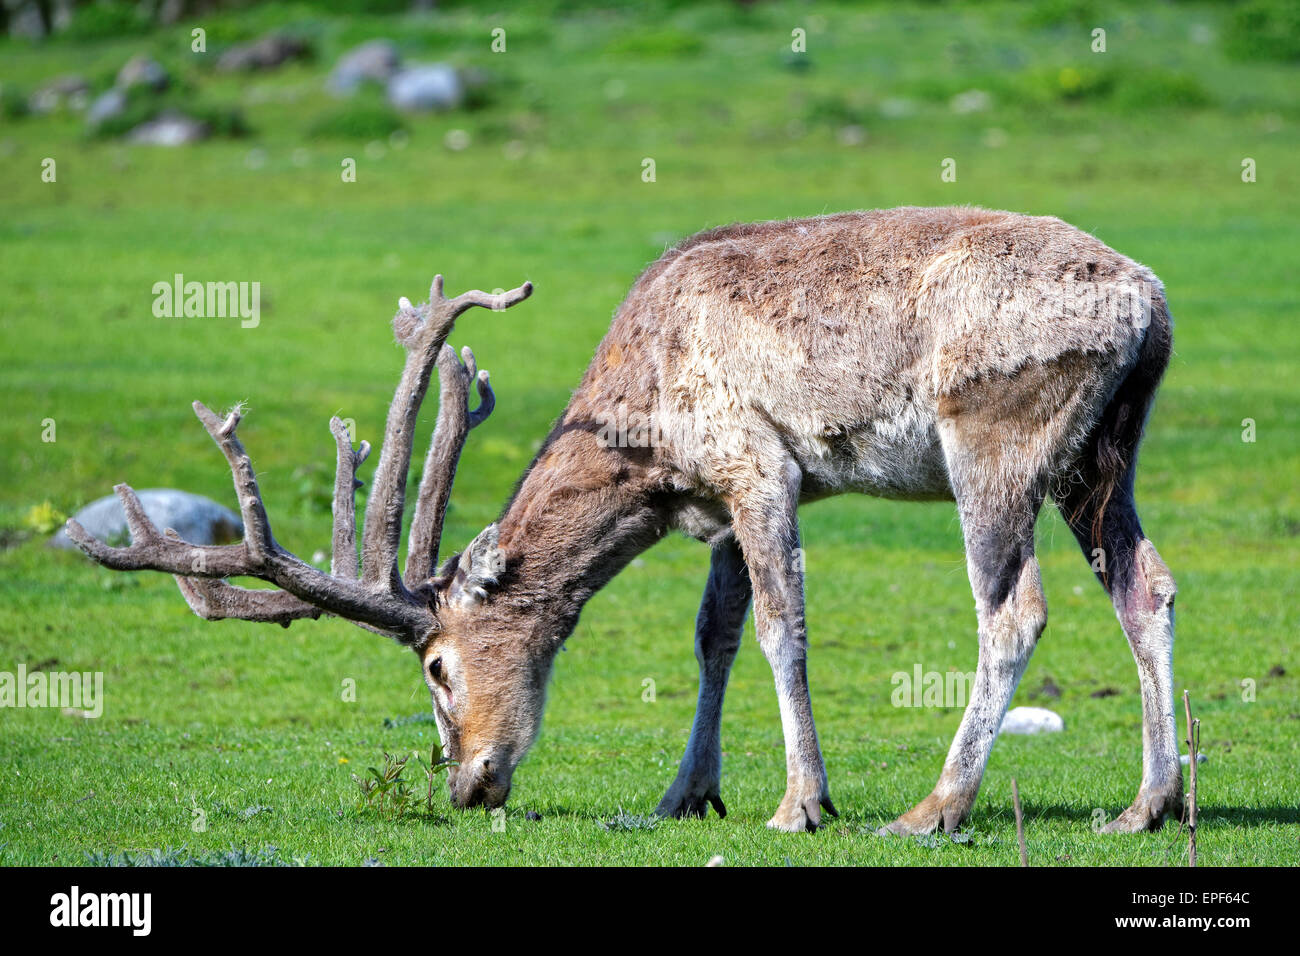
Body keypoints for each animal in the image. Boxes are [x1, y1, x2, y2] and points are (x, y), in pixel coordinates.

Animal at [68, 205, 1182, 835]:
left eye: (436, 666)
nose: (467, 783)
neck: (648, 445)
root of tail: (1154, 304)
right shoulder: (723, 501)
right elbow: (713, 632)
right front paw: (684, 793)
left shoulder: (756, 460)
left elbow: (781, 627)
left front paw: (799, 805)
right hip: (1102, 455)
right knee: (1149, 585)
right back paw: (1148, 804)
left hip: (993, 436)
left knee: (1014, 609)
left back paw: (933, 807)